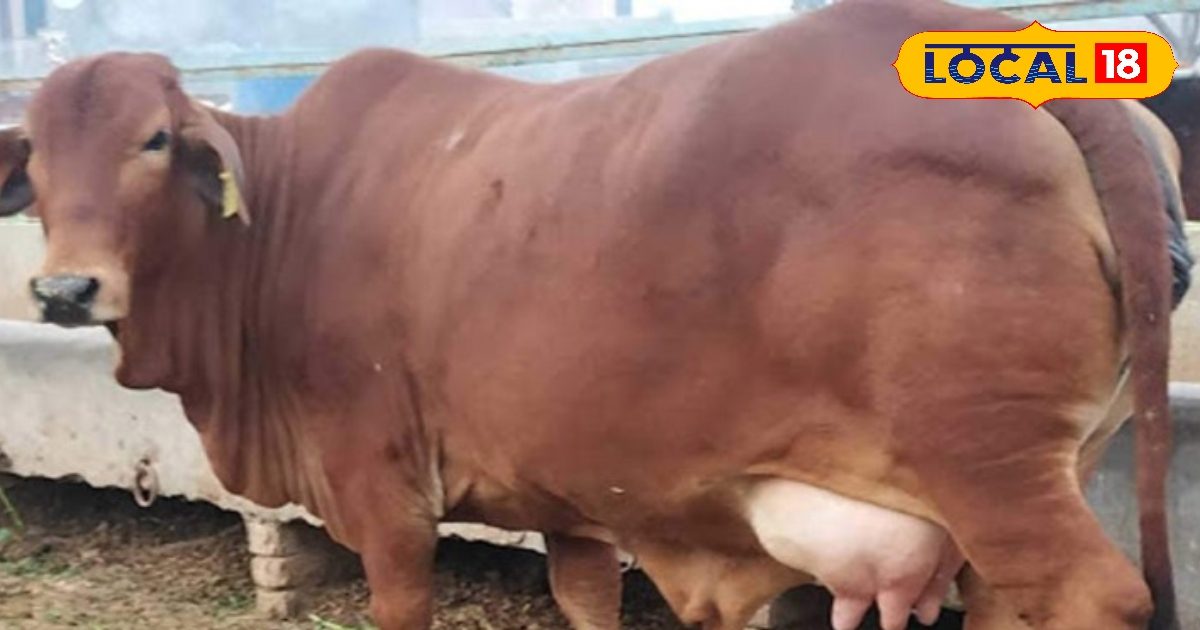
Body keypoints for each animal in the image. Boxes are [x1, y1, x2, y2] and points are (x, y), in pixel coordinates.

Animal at [0, 0, 1185, 628]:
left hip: (991, 466)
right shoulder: (568, 499)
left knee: (1094, 595)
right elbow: (584, 596)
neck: (281, 224)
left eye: (156, 139)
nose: (63, 290)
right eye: (37, 160)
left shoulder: (386, 498)